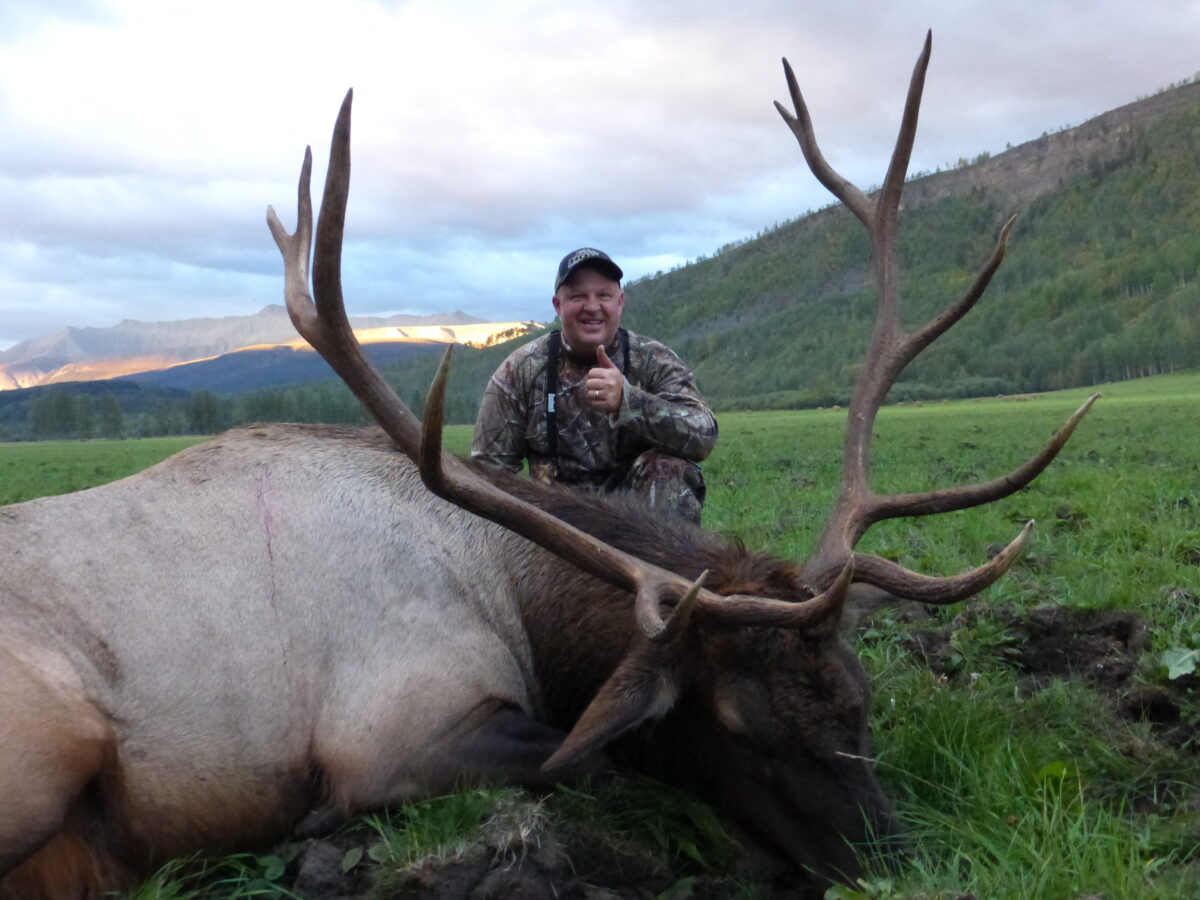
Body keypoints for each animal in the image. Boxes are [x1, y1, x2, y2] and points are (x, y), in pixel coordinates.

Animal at [0, 33, 1094, 899]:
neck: (519, 601)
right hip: (49, 734)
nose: (897, 861)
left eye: (859, 706)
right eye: (746, 729)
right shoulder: (391, 733)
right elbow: (592, 766)